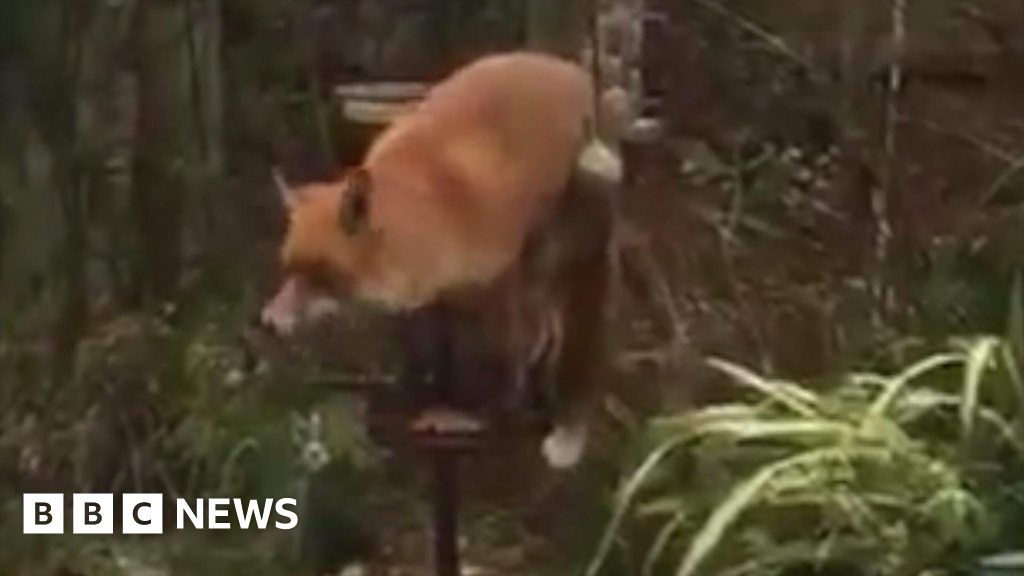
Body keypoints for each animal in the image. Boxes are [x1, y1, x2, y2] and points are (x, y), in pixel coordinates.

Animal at [260, 52, 621, 469]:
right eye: (289, 268)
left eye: (320, 274)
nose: (269, 322)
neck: (430, 216)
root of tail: (576, 75)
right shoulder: (433, 300)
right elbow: (429, 356)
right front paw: (424, 395)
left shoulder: (496, 284)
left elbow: (508, 360)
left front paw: (480, 414)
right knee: (550, 333)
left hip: (556, 252)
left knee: (555, 335)